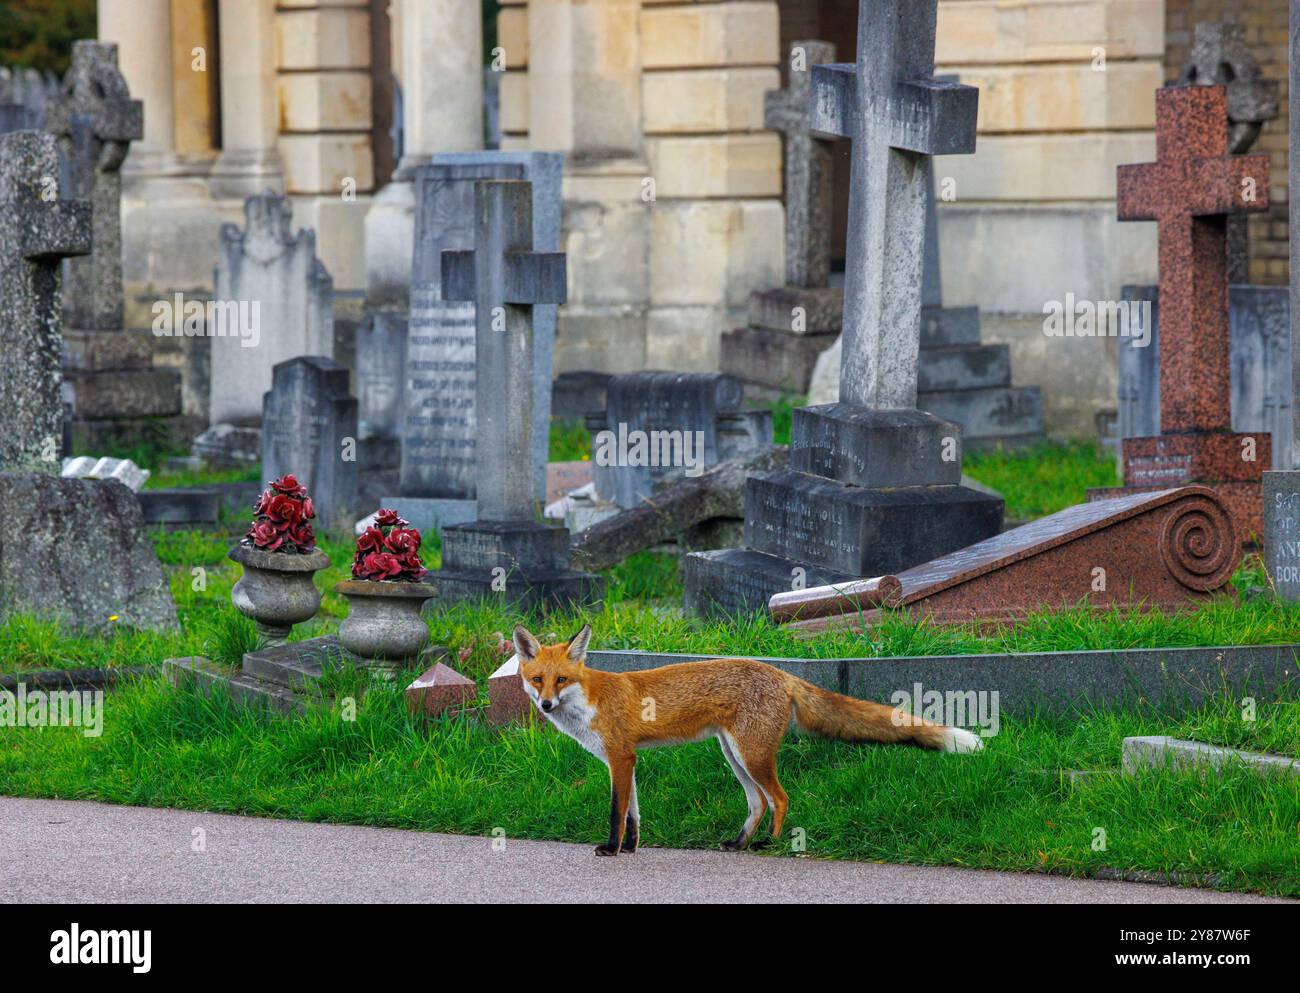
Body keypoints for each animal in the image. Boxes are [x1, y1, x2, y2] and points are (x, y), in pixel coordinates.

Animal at [513, 624, 983, 857]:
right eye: (537, 680)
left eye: (562, 679)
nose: (547, 705)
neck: (588, 701)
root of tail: (781, 673)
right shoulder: (627, 761)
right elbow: (634, 815)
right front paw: (629, 849)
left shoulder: (620, 758)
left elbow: (617, 812)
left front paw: (611, 850)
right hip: (733, 753)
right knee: (758, 802)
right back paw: (738, 843)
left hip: (751, 755)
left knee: (781, 797)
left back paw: (768, 844)